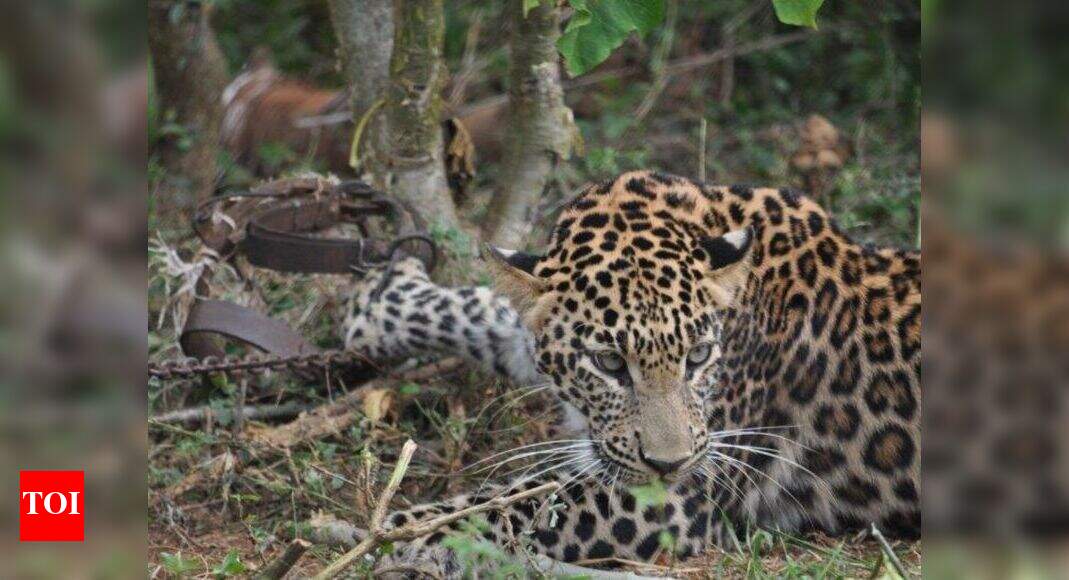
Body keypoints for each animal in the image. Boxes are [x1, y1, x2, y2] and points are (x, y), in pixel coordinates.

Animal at [355, 170, 920, 574]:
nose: (669, 464)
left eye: (698, 356)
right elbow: (489, 309)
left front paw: (401, 534)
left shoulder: (671, 499)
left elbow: (512, 506)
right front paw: (382, 304)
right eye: (608, 363)